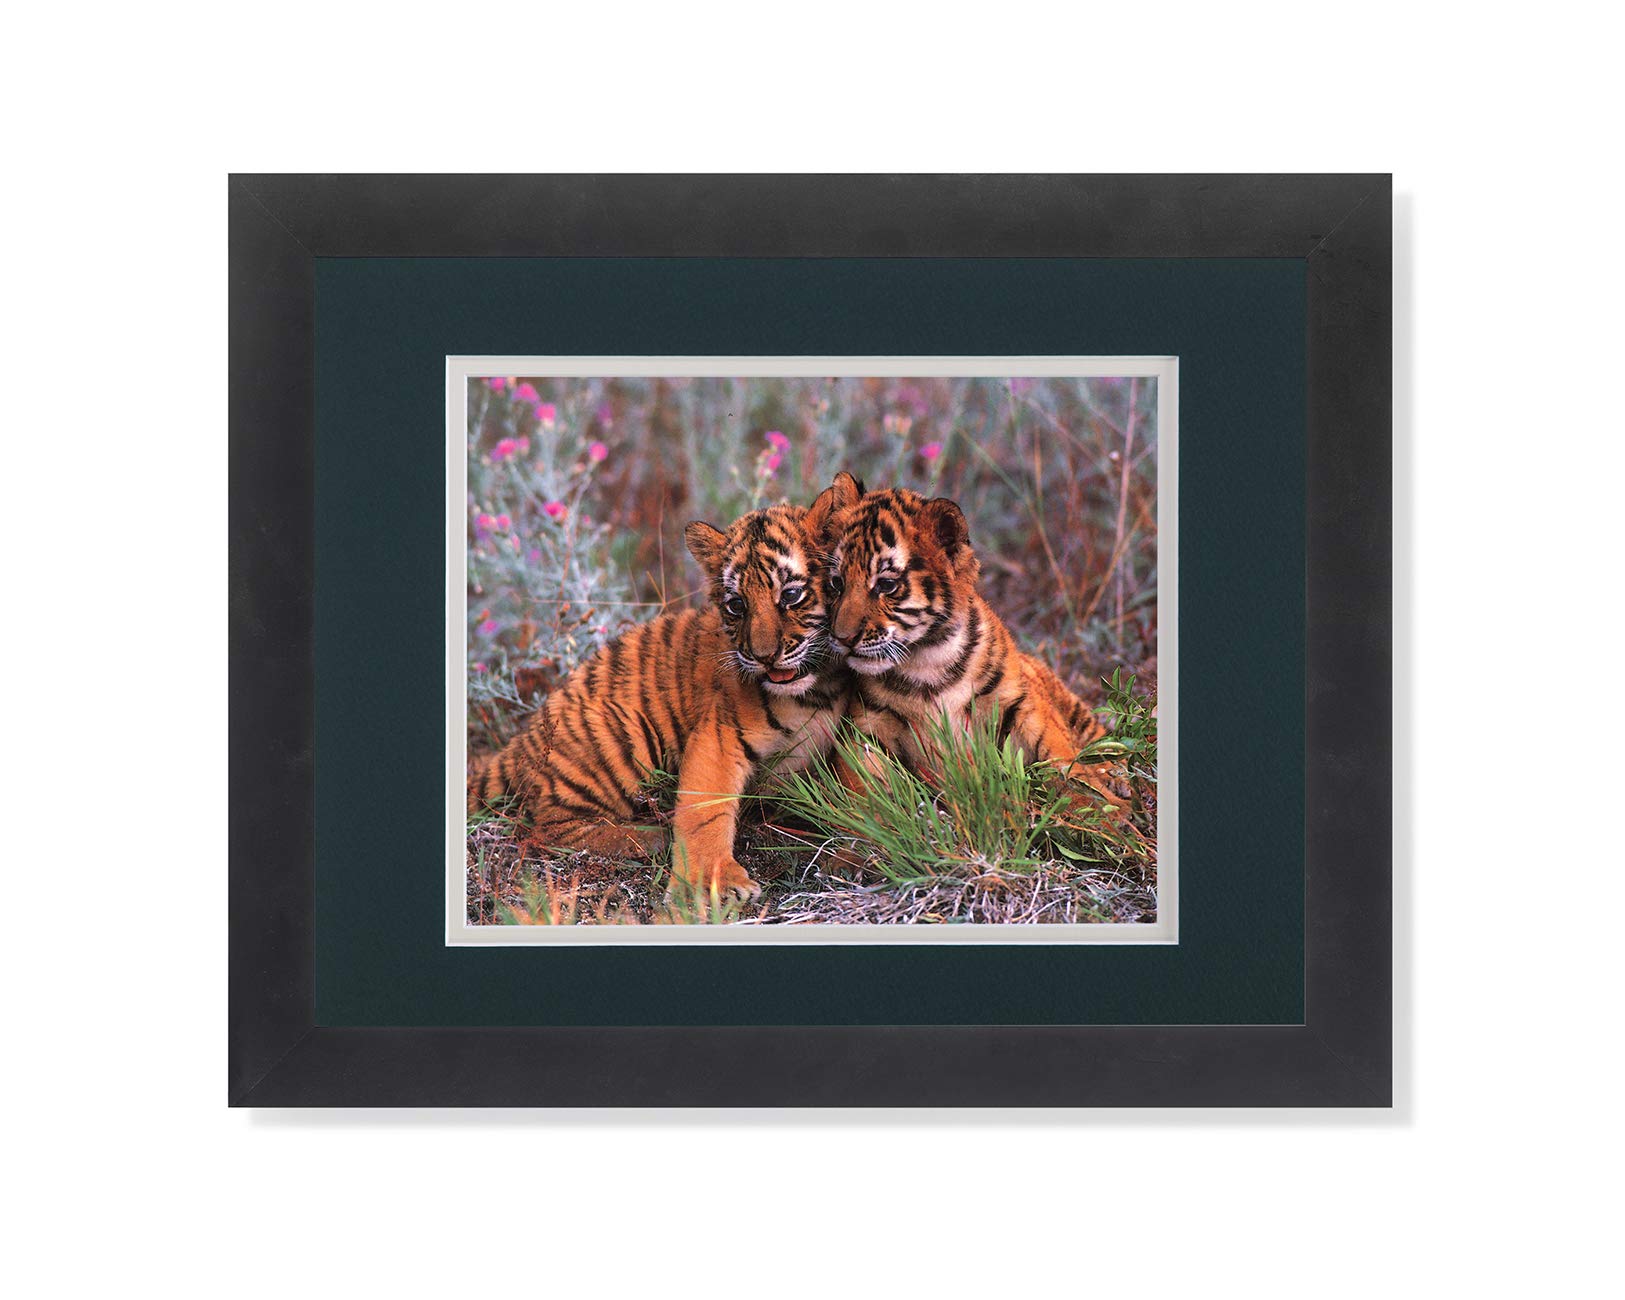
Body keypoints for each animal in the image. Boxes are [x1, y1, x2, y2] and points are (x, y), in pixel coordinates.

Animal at [468, 475, 861, 902]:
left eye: (790, 595)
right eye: (736, 605)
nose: (763, 656)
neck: (816, 686)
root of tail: (521, 740)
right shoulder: (720, 736)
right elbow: (705, 810)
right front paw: (711, 884)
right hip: (624, 732)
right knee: (549, 828)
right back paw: (650, 837)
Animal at [817, 474, 1126, 809]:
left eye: (886, 585)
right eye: (837, 583)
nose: (843, 638)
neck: (925, 660)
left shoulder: (1022, 702)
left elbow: (1063, 758)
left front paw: (1108, 807)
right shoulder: (865, 730)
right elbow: (862, 789)